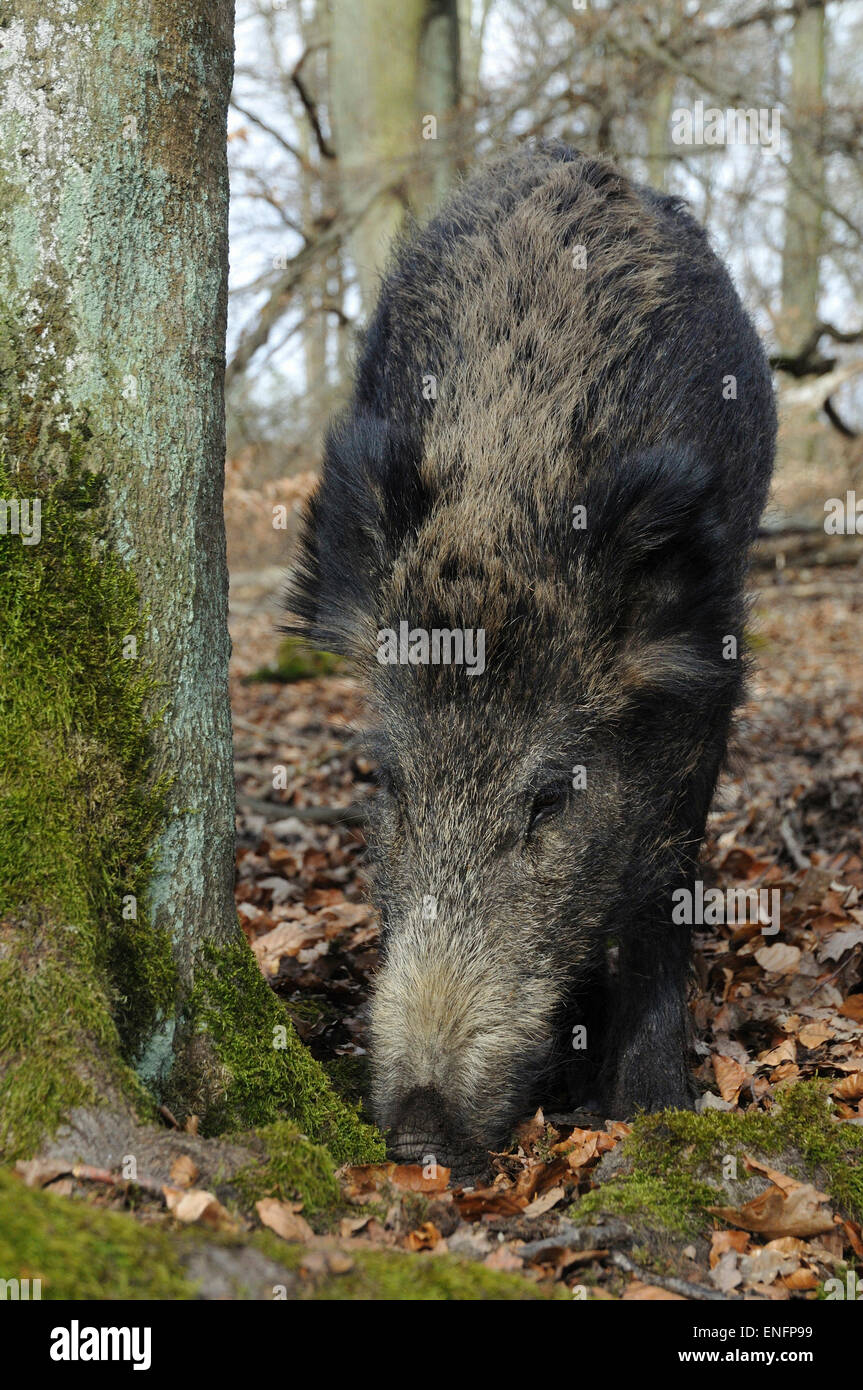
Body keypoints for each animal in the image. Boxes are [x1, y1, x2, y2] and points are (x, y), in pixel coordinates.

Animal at [286, 142, 776, 1175]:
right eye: (389, 782)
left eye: (550, 798)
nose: (418, 1134)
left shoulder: (704, 688)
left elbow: (659, 888)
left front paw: (645, 1111)